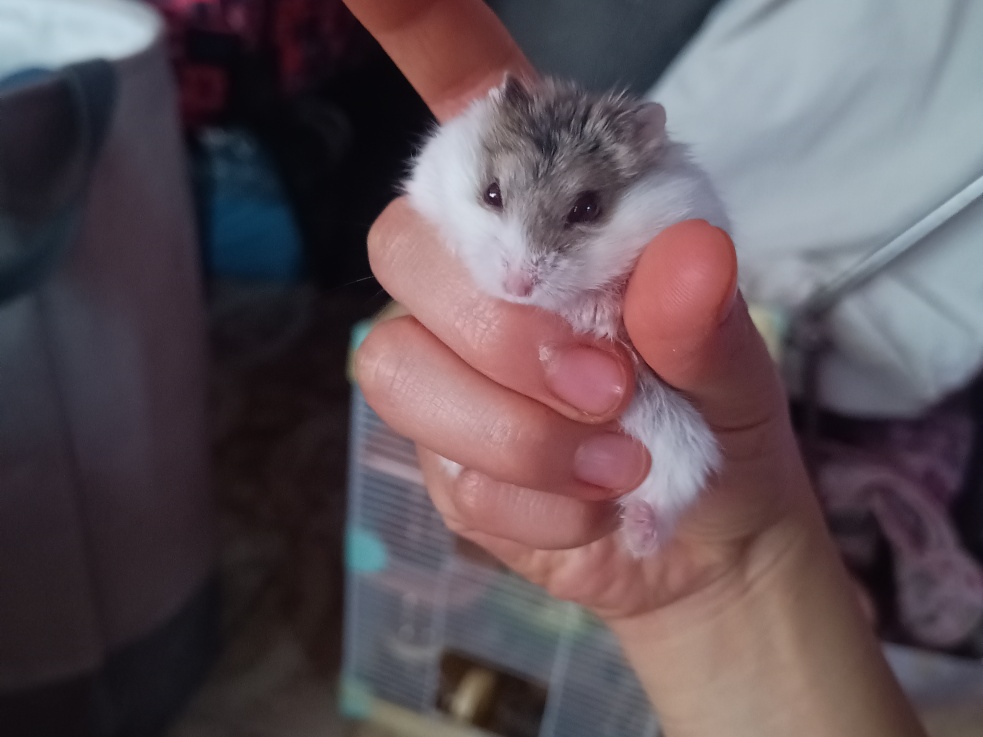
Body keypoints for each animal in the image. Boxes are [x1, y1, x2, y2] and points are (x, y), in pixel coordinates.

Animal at [404, 76, 729, 556]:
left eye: (587, 208)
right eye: (491, 193)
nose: (517, 289)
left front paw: (595, 313)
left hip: (683, 440)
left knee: (674, 487)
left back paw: (638, 534)